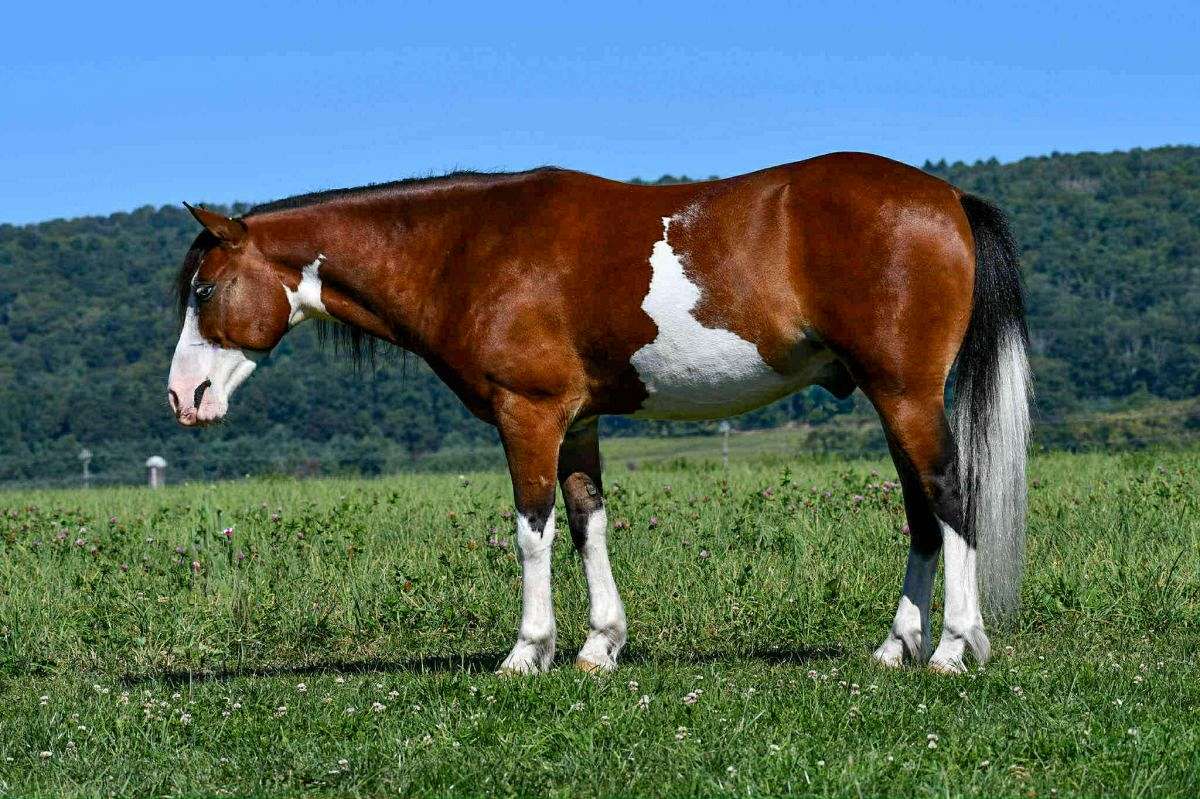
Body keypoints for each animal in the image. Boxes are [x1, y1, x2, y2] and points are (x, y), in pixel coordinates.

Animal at [167, 152, 1030, 675]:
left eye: (205, 290)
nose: (183, 398)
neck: (470, 248)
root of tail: (946, 195)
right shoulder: (576, 420)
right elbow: (589, 521)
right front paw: (599, 645)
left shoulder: (529, 413)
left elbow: (531, 528)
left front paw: (527, 651)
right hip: (891, 398)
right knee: (922, 514)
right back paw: (896, 645)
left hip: (905, 393)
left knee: (950, 497)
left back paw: (953, 646)